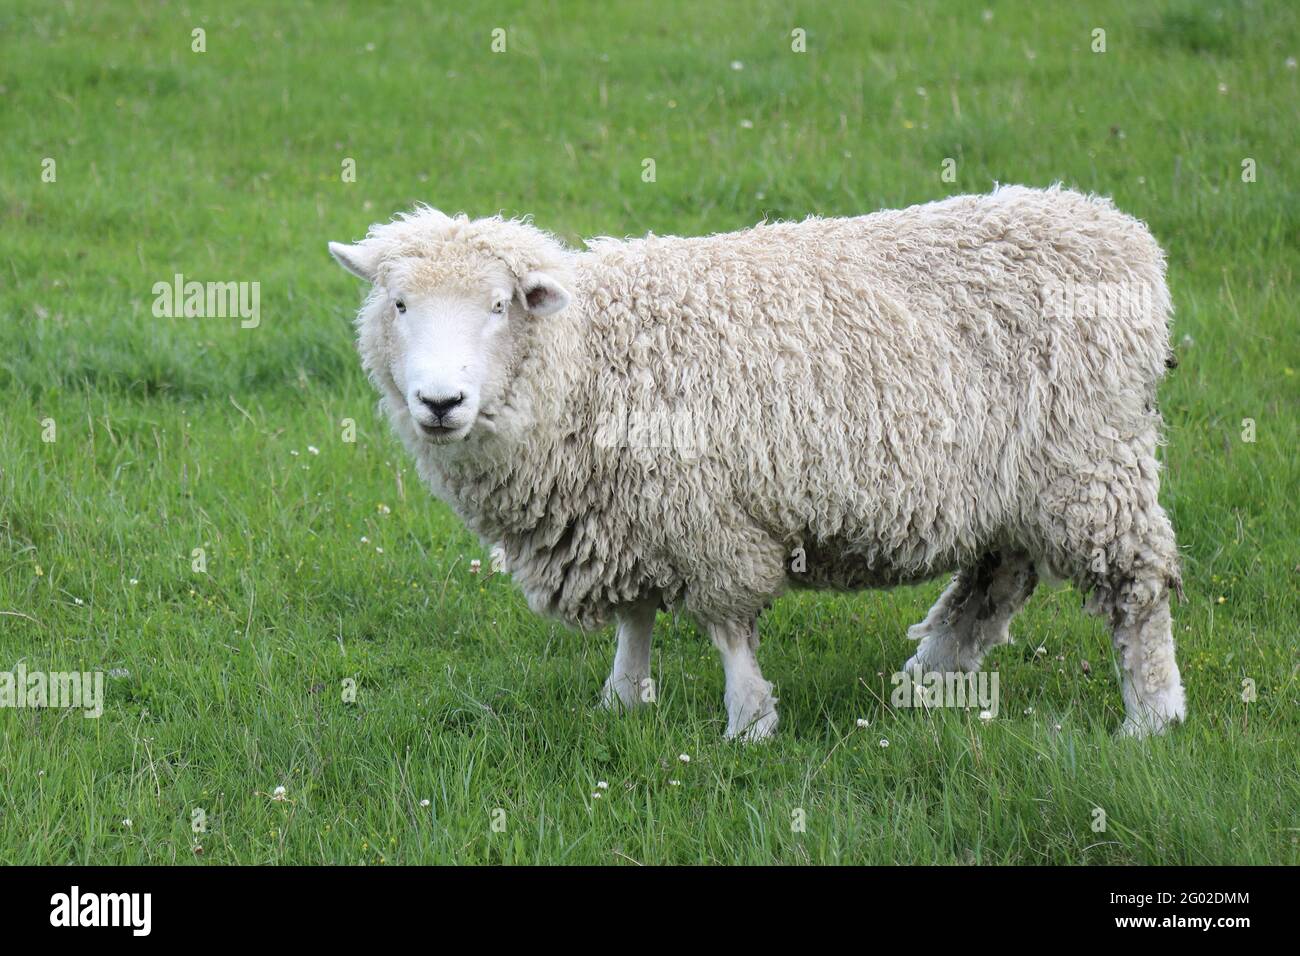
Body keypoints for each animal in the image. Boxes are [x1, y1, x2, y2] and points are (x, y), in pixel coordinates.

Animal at [329, 185, 1185, 741]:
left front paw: (748, 724)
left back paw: (1151, 716)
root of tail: (1116, 227)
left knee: (1136, 585)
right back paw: (930, 673)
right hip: (1014, 477)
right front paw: (623, 700)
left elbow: (729, 626)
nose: (440, 402)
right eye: (399, 305)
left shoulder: (708, 517)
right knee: (999, 575)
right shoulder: (626, 517)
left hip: (1089, 459)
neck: (592, 358)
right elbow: (636, 617)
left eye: (499, 306)